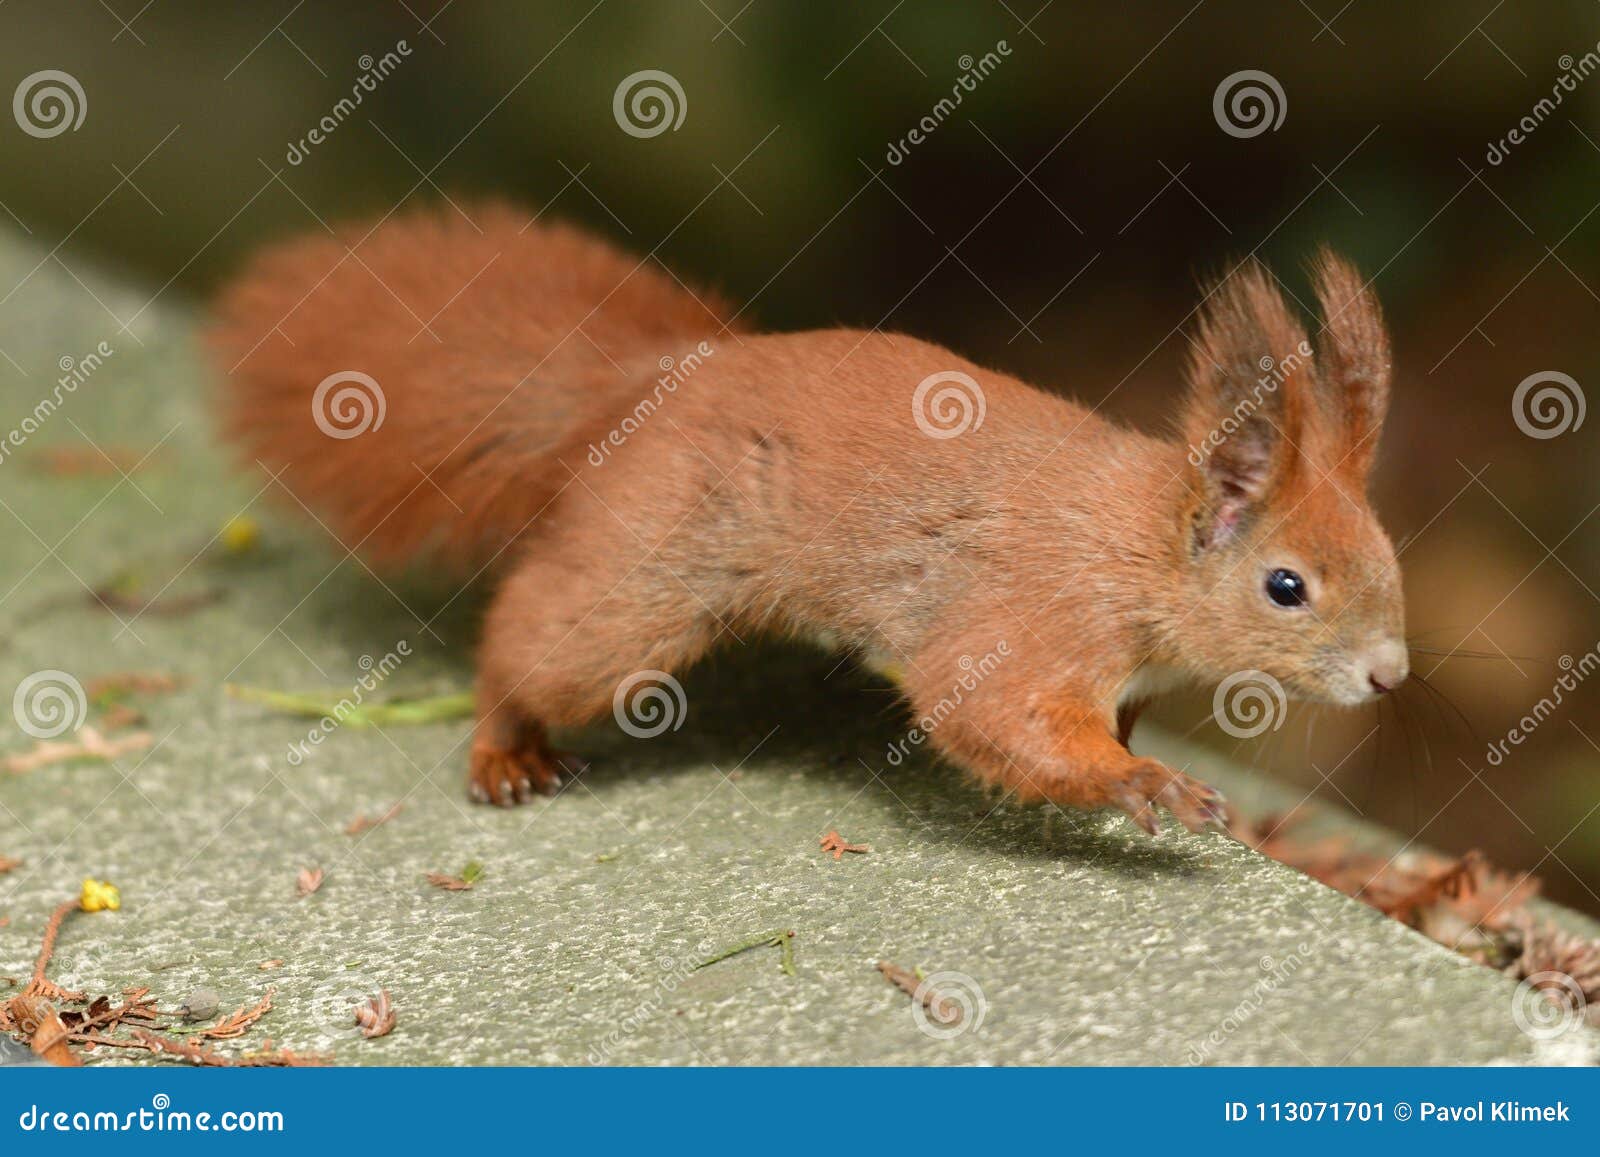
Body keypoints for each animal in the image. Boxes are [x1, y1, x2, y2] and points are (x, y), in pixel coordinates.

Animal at [209, 202, 1407, 836]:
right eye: (1286, 586)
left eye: (1390, 558)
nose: (1389, 676)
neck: (1143, 547)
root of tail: (651, 386)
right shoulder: (1031, 619)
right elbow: (996, 716)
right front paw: (1145, 785)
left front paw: (1141, 761)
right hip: (643, 585)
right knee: (531, 641)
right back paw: (506, 744)